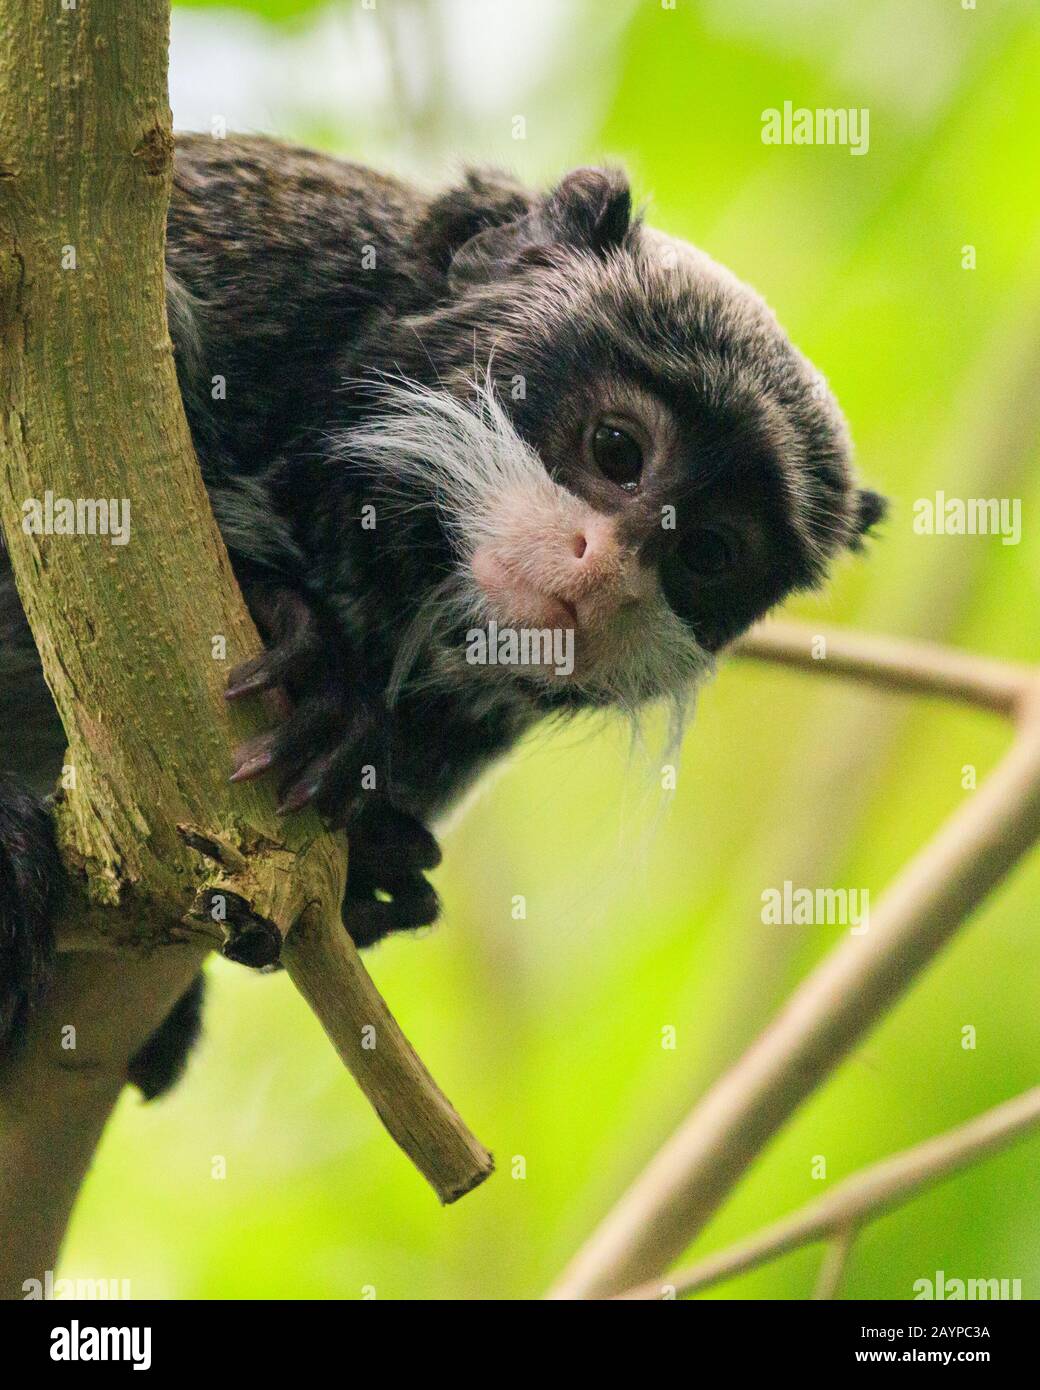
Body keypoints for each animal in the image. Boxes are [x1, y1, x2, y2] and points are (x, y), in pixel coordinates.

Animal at [0, 135, 886, 1099]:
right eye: (618, 449)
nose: (607, 575)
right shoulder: (248, 251)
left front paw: (372, 863)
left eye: (710, 553)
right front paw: (300, 644)